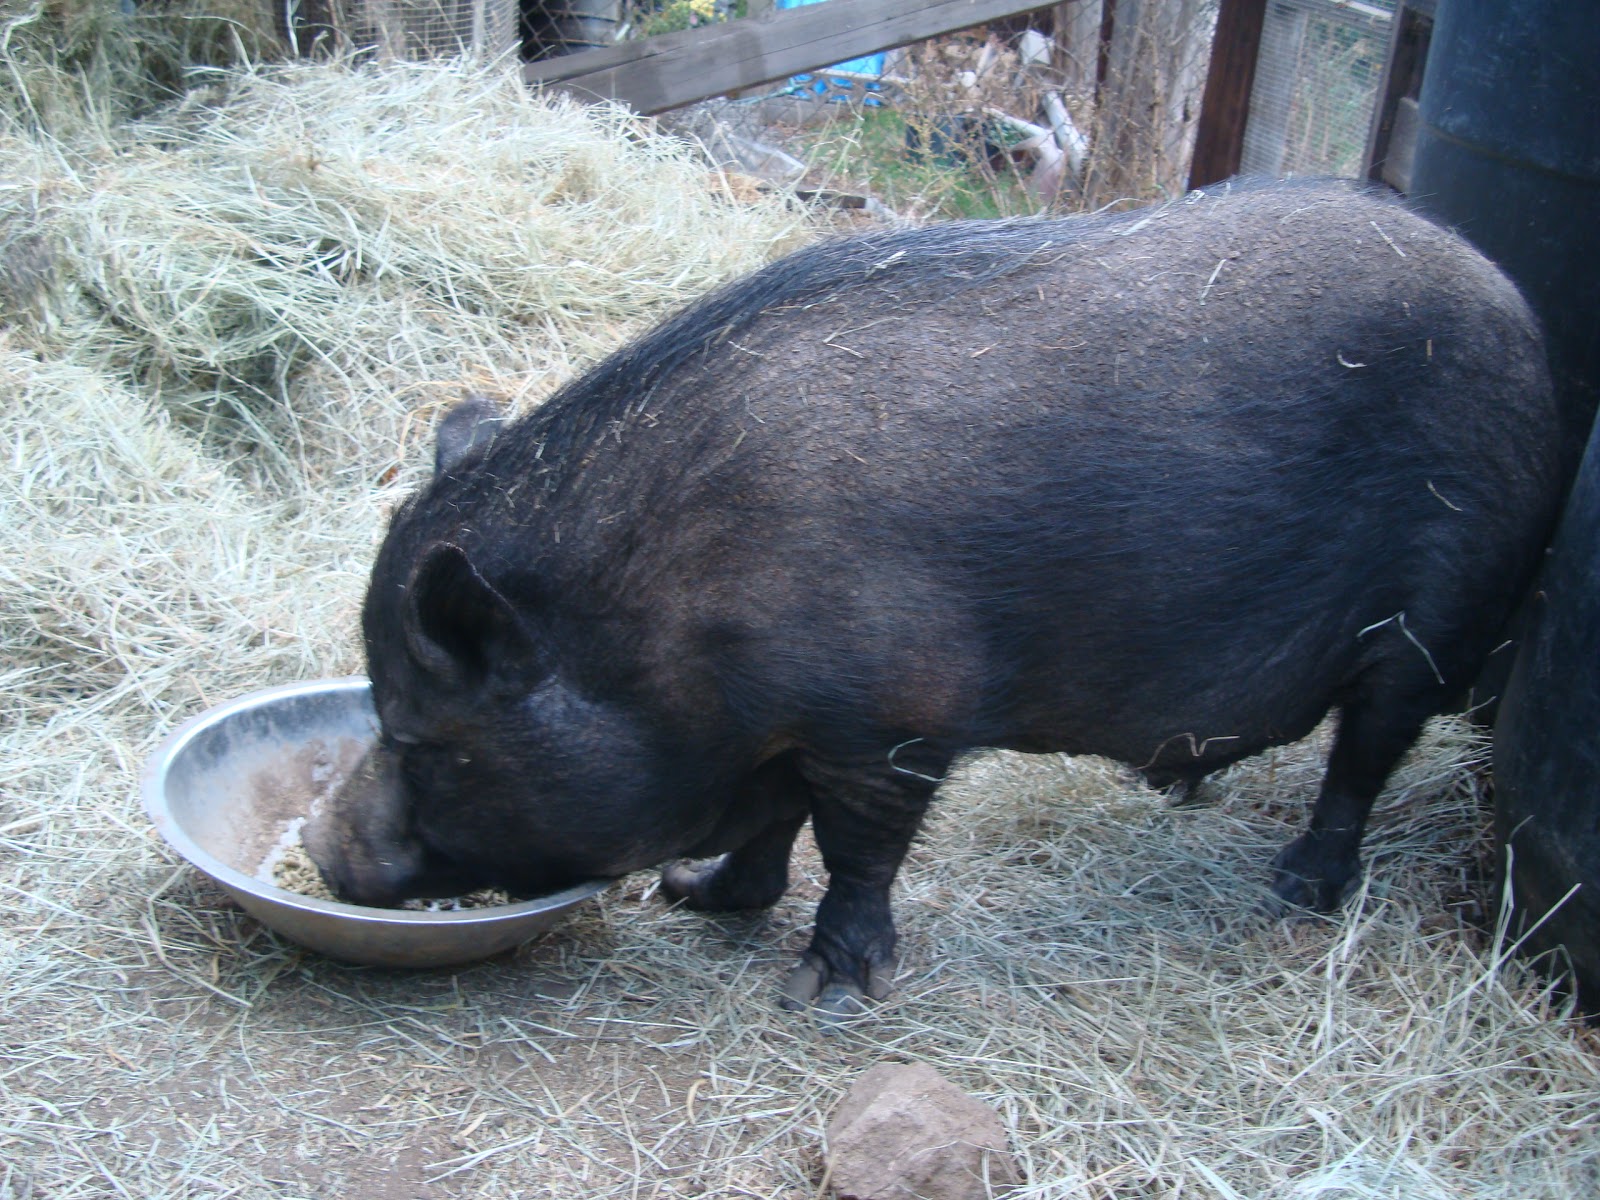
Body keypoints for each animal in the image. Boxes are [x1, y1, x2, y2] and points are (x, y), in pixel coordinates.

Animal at [318, 179, 1565, 1015]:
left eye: (419, 736)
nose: (329, 853)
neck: (661, 624)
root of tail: (1520, 310)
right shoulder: (789, 732)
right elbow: (772, 829)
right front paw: (690, 892)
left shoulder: (890, 719)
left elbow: (857, 851)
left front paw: (819, 996)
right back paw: (1179, 797)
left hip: (1435, 617)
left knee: (1365, 754)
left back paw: (1295, 892)